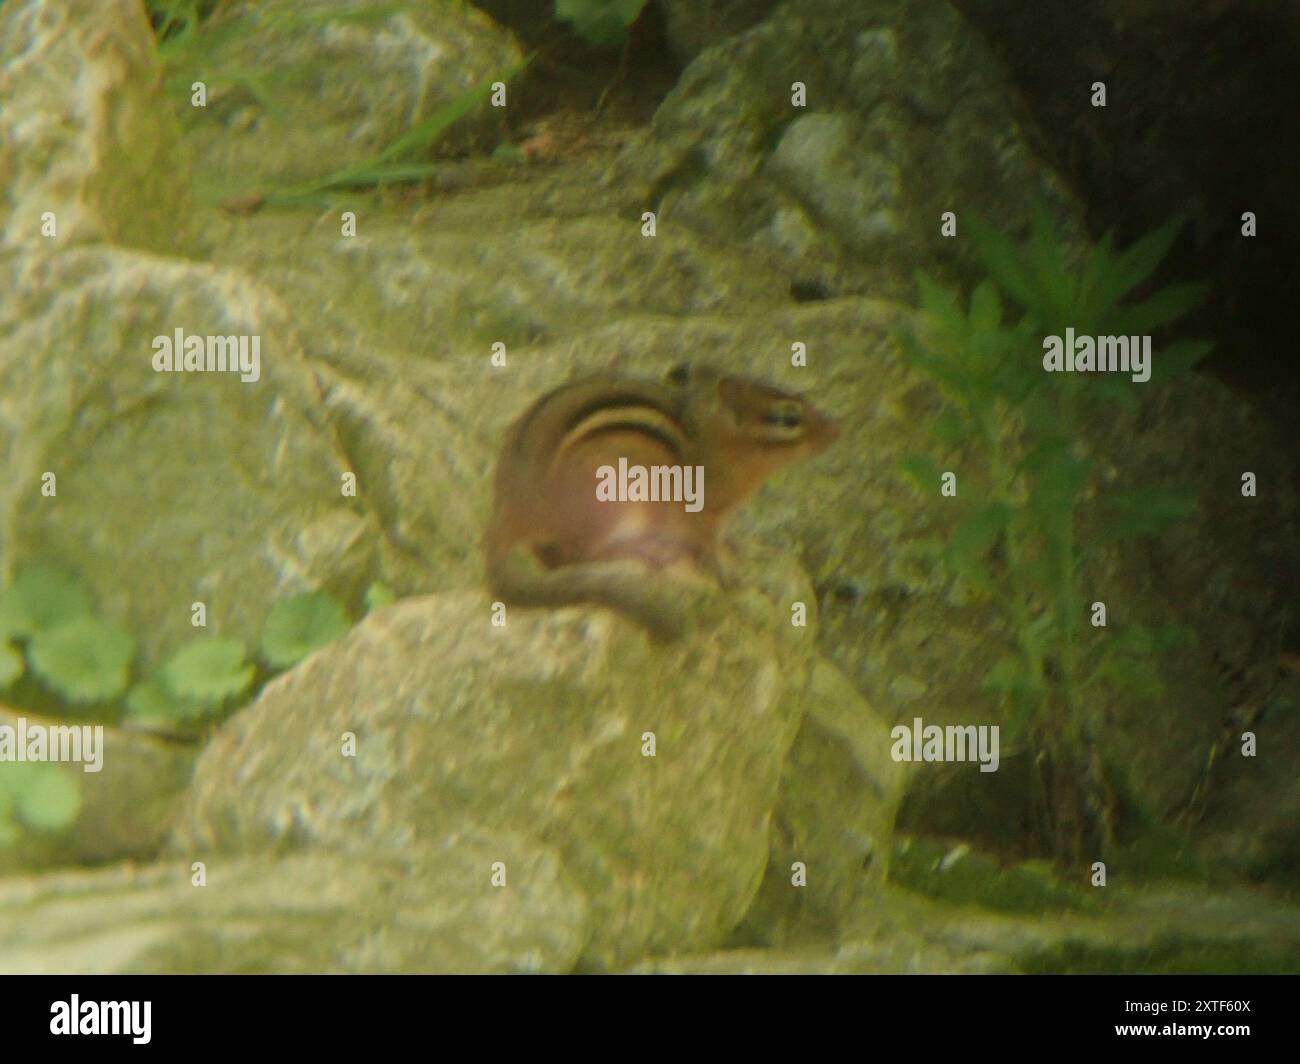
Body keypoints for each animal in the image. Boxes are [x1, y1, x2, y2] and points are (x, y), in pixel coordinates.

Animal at [483, 362, 838, 640]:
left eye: (803, 398)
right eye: (788, 418)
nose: (837, 429)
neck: (718, 444)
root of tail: (509, 507)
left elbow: (723, 540)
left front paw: (737, 548)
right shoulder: (700, 512)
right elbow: (711, 549)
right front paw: (730, 575)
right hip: (615, 501)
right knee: (574, 556)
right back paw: (646, 551)